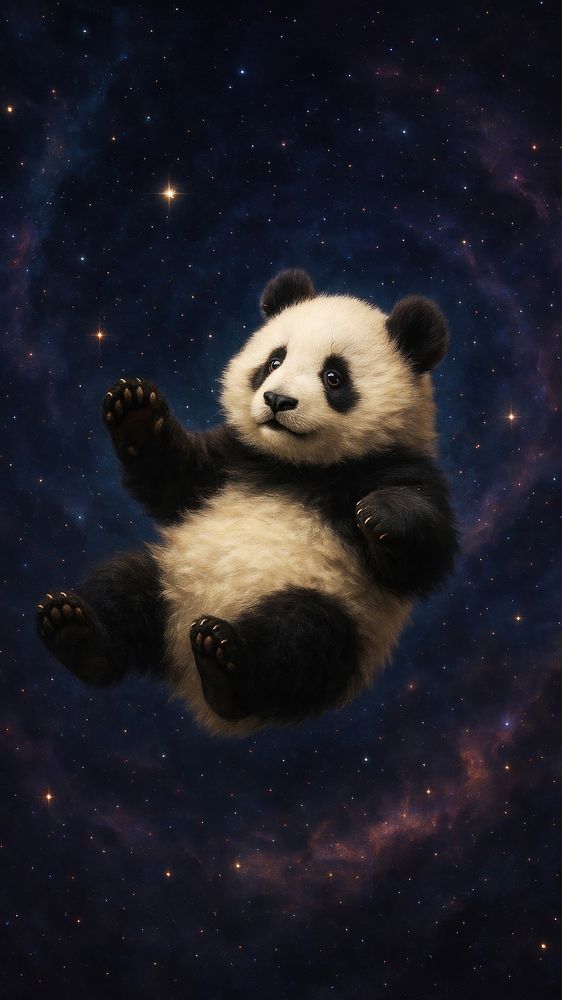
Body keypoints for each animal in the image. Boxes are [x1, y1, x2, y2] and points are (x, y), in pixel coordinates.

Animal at [36, 269, 458, 739]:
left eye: (334, 377)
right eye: (274, 362)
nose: (277, 401)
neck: (298, 467)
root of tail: (188, 678)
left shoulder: (395, 465)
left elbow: (422, 559)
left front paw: (380, 514)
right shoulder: (231, 459)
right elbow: (170, 482)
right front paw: (137, 412)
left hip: (343, 617)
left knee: (300, 638)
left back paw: (225, 669)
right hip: (171, 576)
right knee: (124, 583)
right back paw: (79, 636)